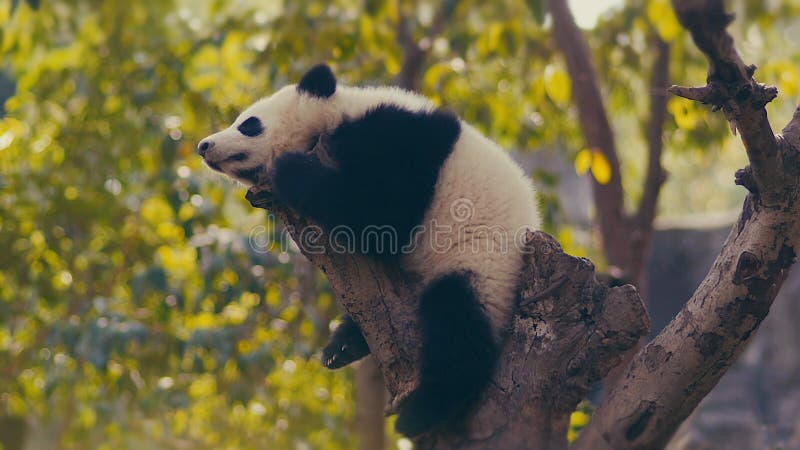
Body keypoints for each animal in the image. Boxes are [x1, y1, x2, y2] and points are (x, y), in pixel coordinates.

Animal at [198, 64, 541, 437]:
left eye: (248, 124)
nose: (204, 145)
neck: (338, 116)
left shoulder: (399, 140)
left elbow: (384, 214)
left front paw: (290, 169)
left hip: (483, 266)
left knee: (458, 326)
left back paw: (421, 412)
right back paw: (342, 347)